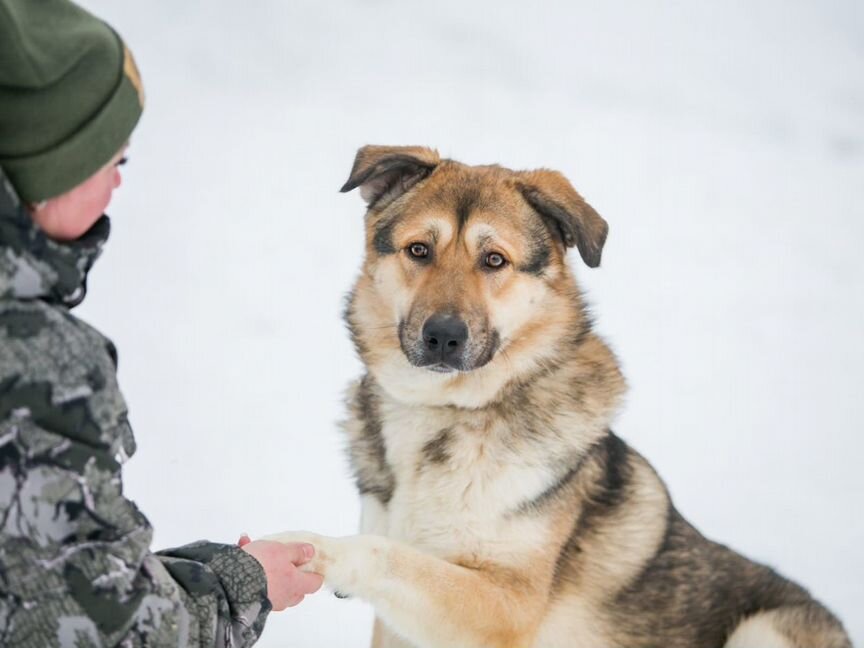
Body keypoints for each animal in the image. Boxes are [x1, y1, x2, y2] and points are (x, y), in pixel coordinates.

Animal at [270, 147, 852, 648]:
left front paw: (311, 550)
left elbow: (387, 555)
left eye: (494, 260)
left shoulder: (508, 606)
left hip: (765, 629)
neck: (449, 411)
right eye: (419, 250)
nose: (443, 337)